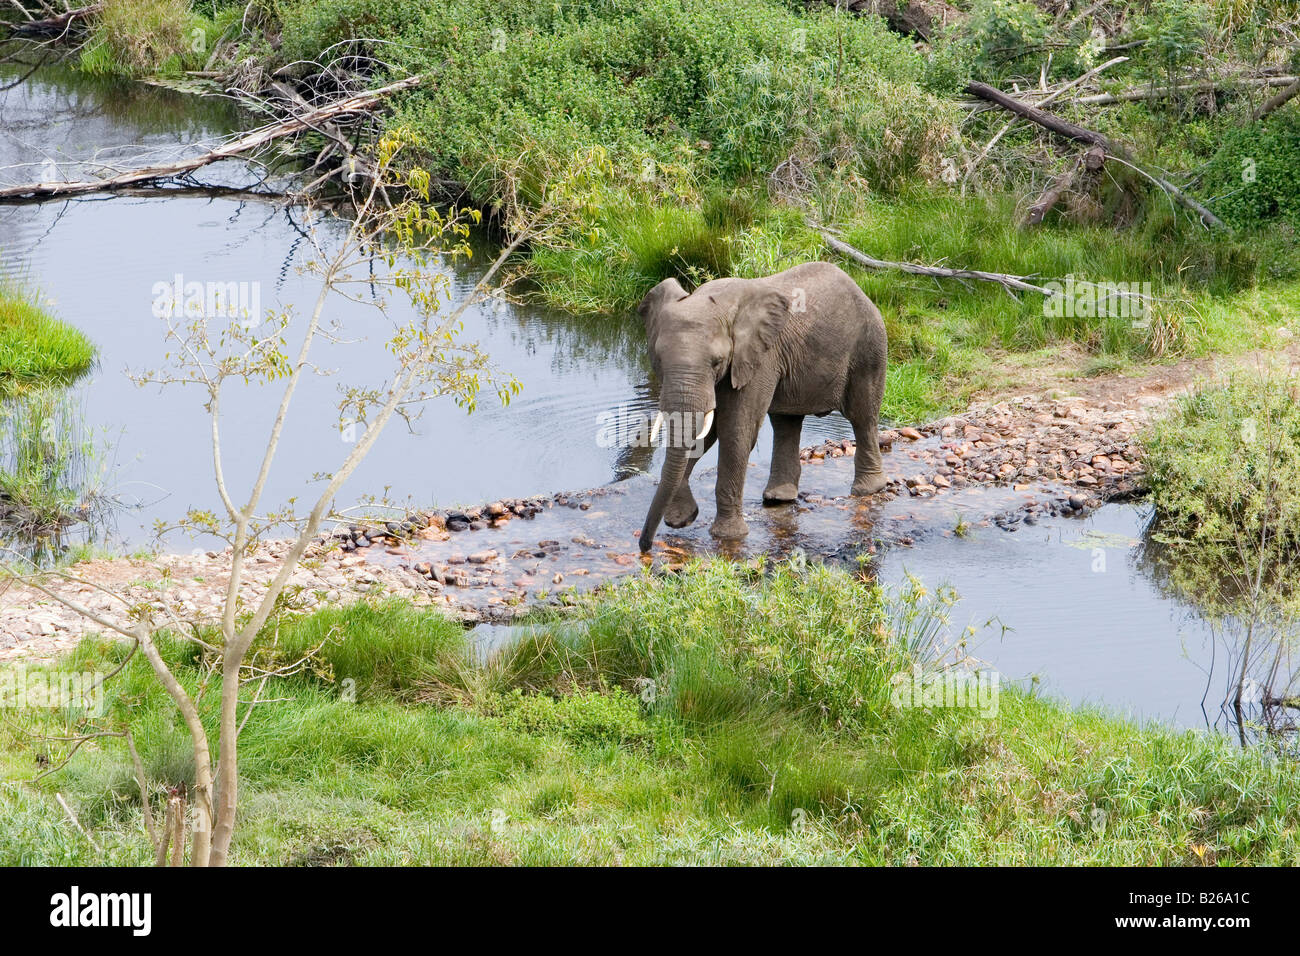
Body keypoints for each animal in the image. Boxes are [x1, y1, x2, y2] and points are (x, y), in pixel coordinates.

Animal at [637, 260, 888, 553]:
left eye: (716, 361)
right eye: (659, 360)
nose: (645, 546)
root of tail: (858, 286)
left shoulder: (759, 358)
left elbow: (735, 430)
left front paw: (727, 536)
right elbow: (706, 431)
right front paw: (681, 519)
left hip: (869, 346)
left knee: (862, 416)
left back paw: (867, 490)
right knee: (785, 422)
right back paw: (779, 498)